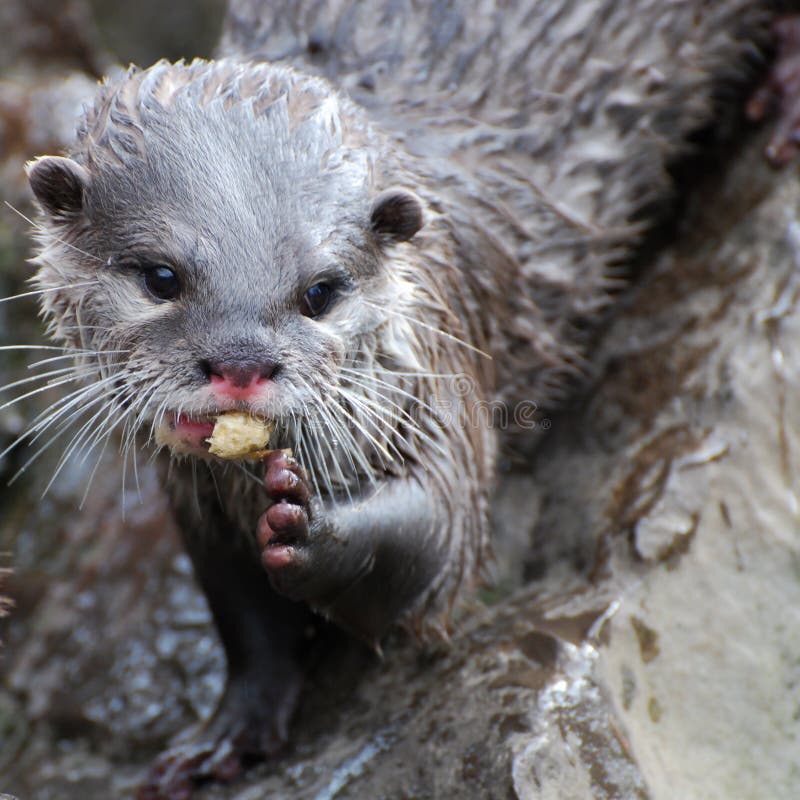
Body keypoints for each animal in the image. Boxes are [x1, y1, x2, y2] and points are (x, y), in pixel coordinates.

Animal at [20, 0, 770, 797]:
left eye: (320, 291)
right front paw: (225, 735)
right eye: (160, 277)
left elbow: (442, 539)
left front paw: (307, 525)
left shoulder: (446, 362)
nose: (241, 363)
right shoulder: (198, 505)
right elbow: (245, 618)